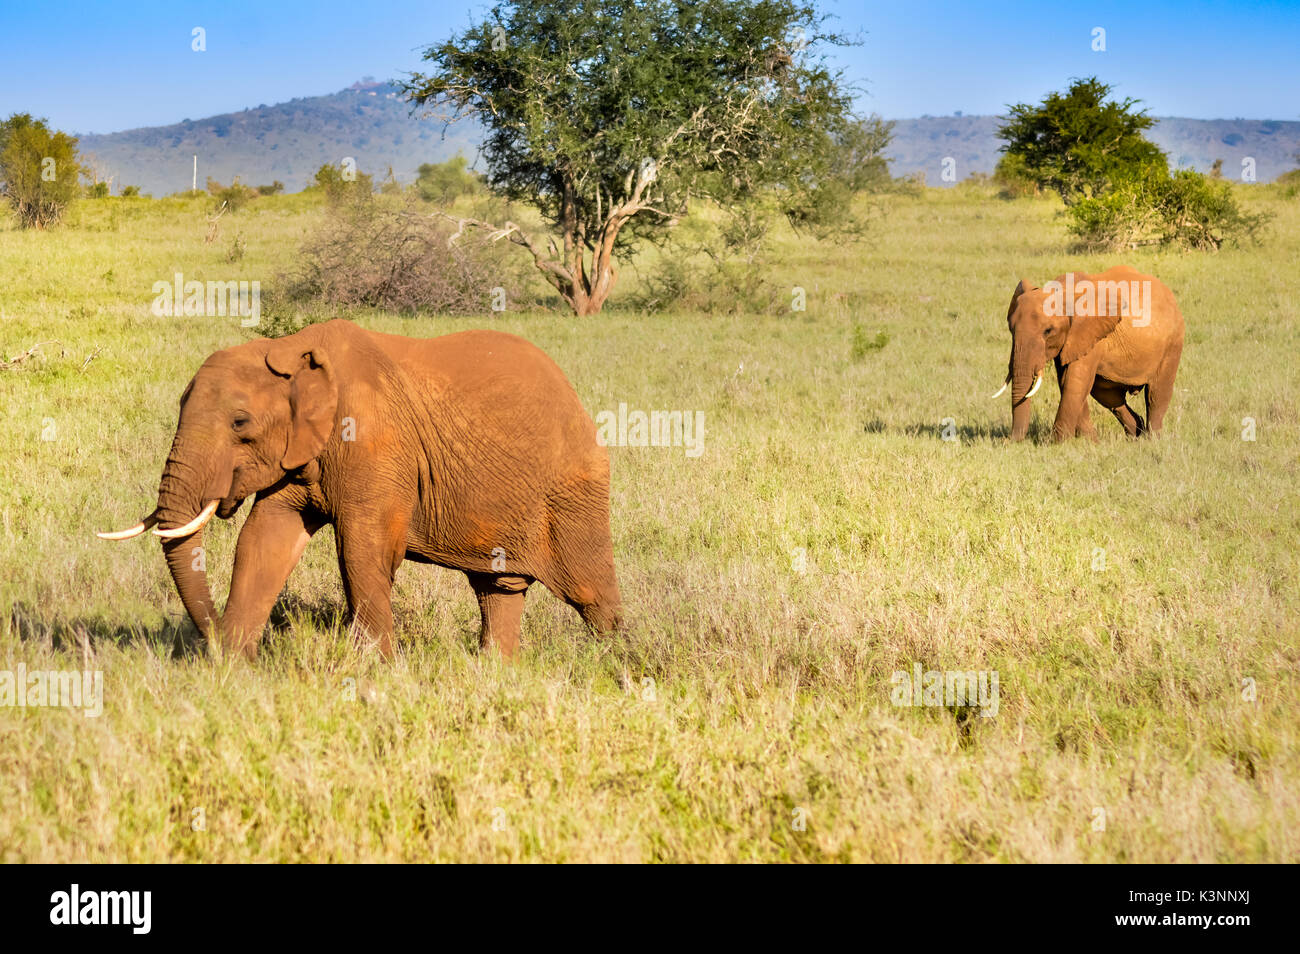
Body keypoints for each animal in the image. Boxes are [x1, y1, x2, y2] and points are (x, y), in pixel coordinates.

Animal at [98, 319, 623, 659]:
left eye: (240, 423)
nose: (209, 637)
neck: (290, 349)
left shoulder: (373, 443)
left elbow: (362, 550)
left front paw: (376, 672)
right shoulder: (298, 454)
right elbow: (263, 541)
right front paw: (231, 669)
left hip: (573, 491)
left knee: (590, 590)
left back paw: (619, 669)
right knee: (498, 589)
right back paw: (496, 672)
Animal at [992, 267, 1185, 442]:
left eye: (1048, 331)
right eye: (1011, 328)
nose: (1008, 442)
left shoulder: (1090, 335)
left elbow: (1076, 381)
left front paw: (1057, 443)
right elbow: (1068, 382)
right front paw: (1091, 442)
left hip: (1173, 342)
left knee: (1157, 394)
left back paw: (1152, 440)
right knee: (1109, 396)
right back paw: (1135, 435)